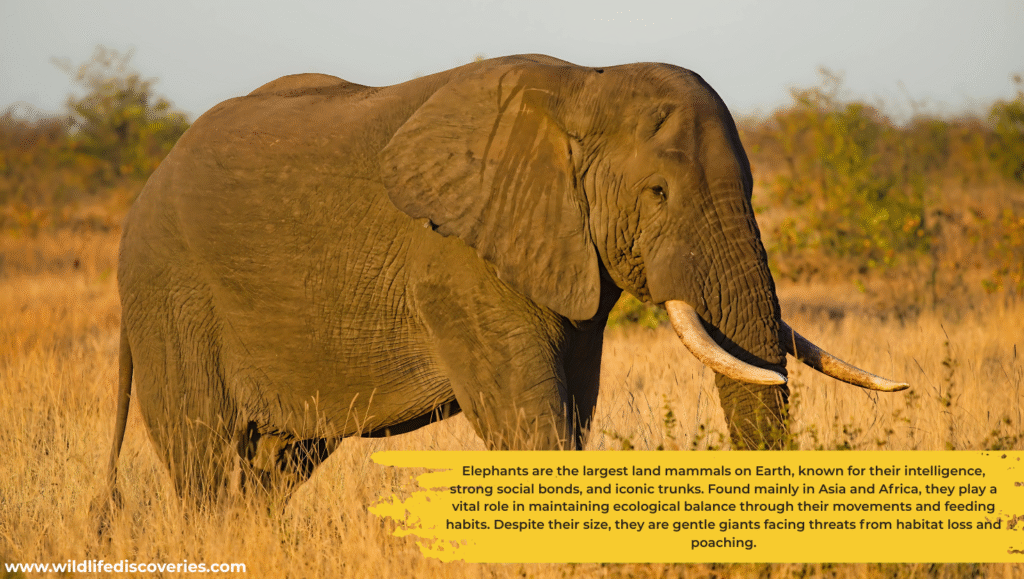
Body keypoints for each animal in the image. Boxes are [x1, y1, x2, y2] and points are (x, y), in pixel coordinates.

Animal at [101, 54, 907, 505]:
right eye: (658, 194)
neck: (583, 88)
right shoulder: (457, 262)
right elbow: (529, 420)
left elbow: (572, 406)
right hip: (170, 293)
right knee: (204, 456)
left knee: (278, 466)